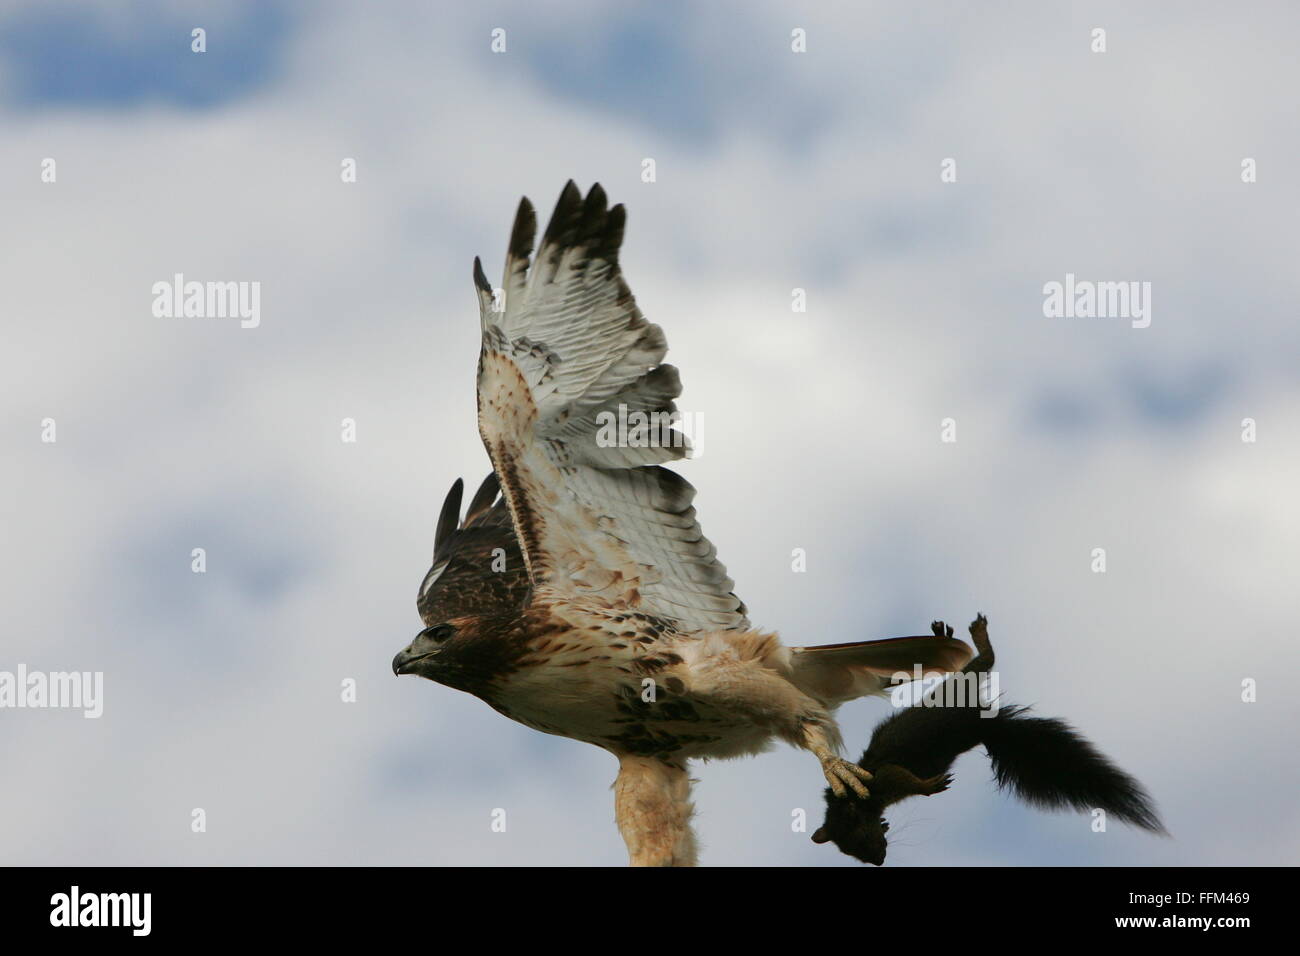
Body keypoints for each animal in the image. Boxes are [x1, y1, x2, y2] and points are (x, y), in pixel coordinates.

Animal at [811, 614, 1165, 864]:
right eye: (850, 852)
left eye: (858, 834)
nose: (879, 861)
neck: (856, 798)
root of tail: (985, 719)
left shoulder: (879, 778)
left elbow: (900, 776)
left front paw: (928, 786)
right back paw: (944, 638)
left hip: (961, 689)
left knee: (981, 663)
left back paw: (974, 637)